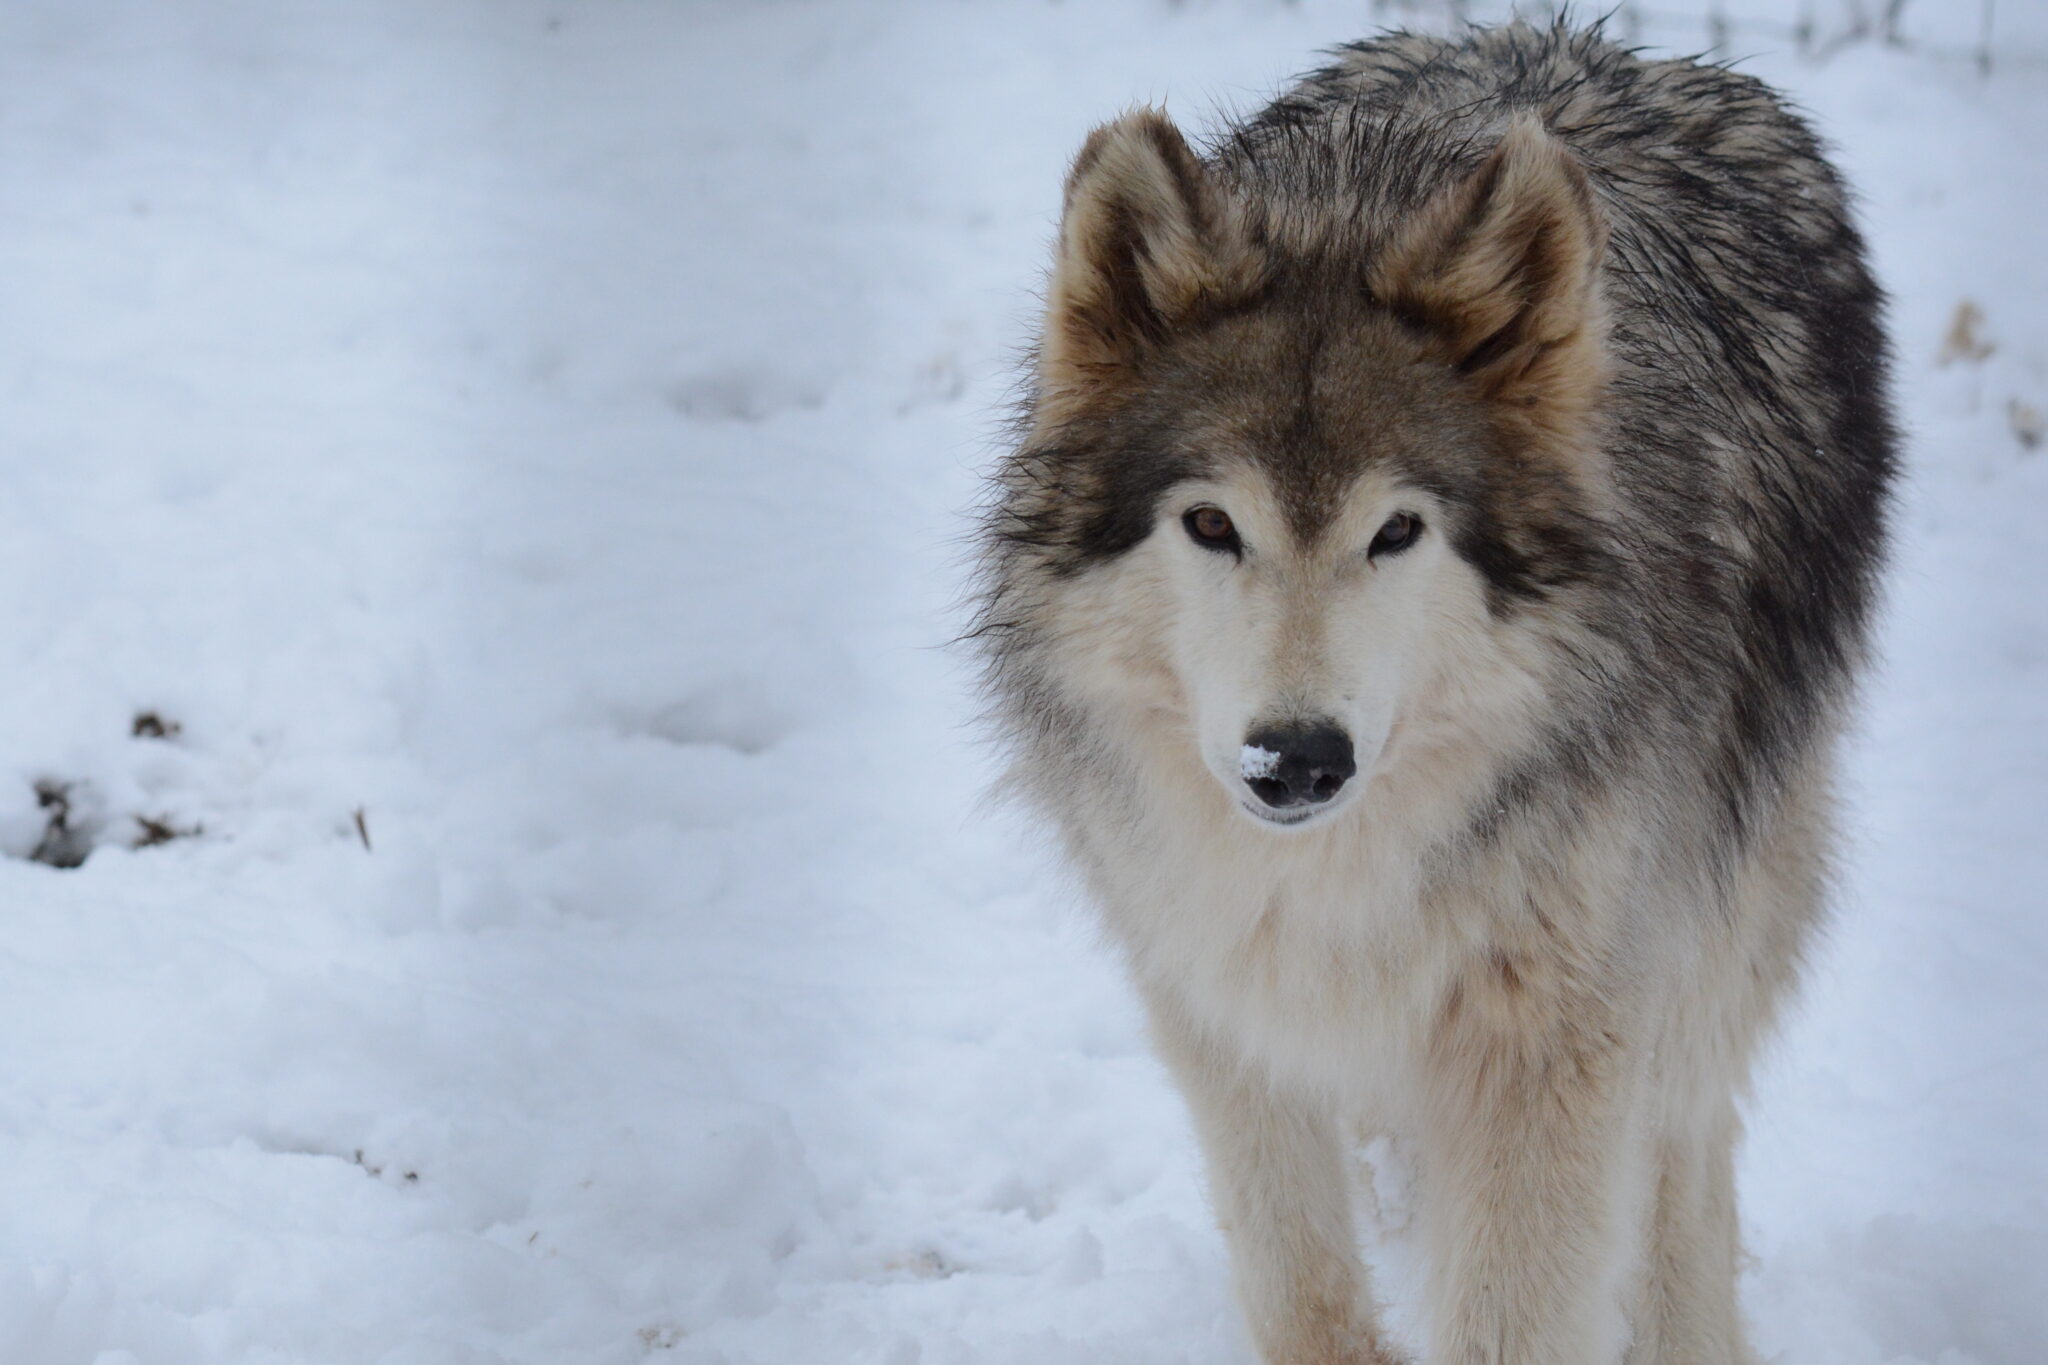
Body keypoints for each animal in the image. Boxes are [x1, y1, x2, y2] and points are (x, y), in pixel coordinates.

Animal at [973, 20, 1895, 1365]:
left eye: (1395, 532)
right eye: (1211, 524)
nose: (1295, 759)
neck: (1333, 877)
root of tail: (1568, 40)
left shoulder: (1552, 1037)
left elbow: (1521, 1301)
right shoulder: (1219, 1003)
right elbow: (1298, 1284)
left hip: (1717, 903)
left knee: (1685, 1147)